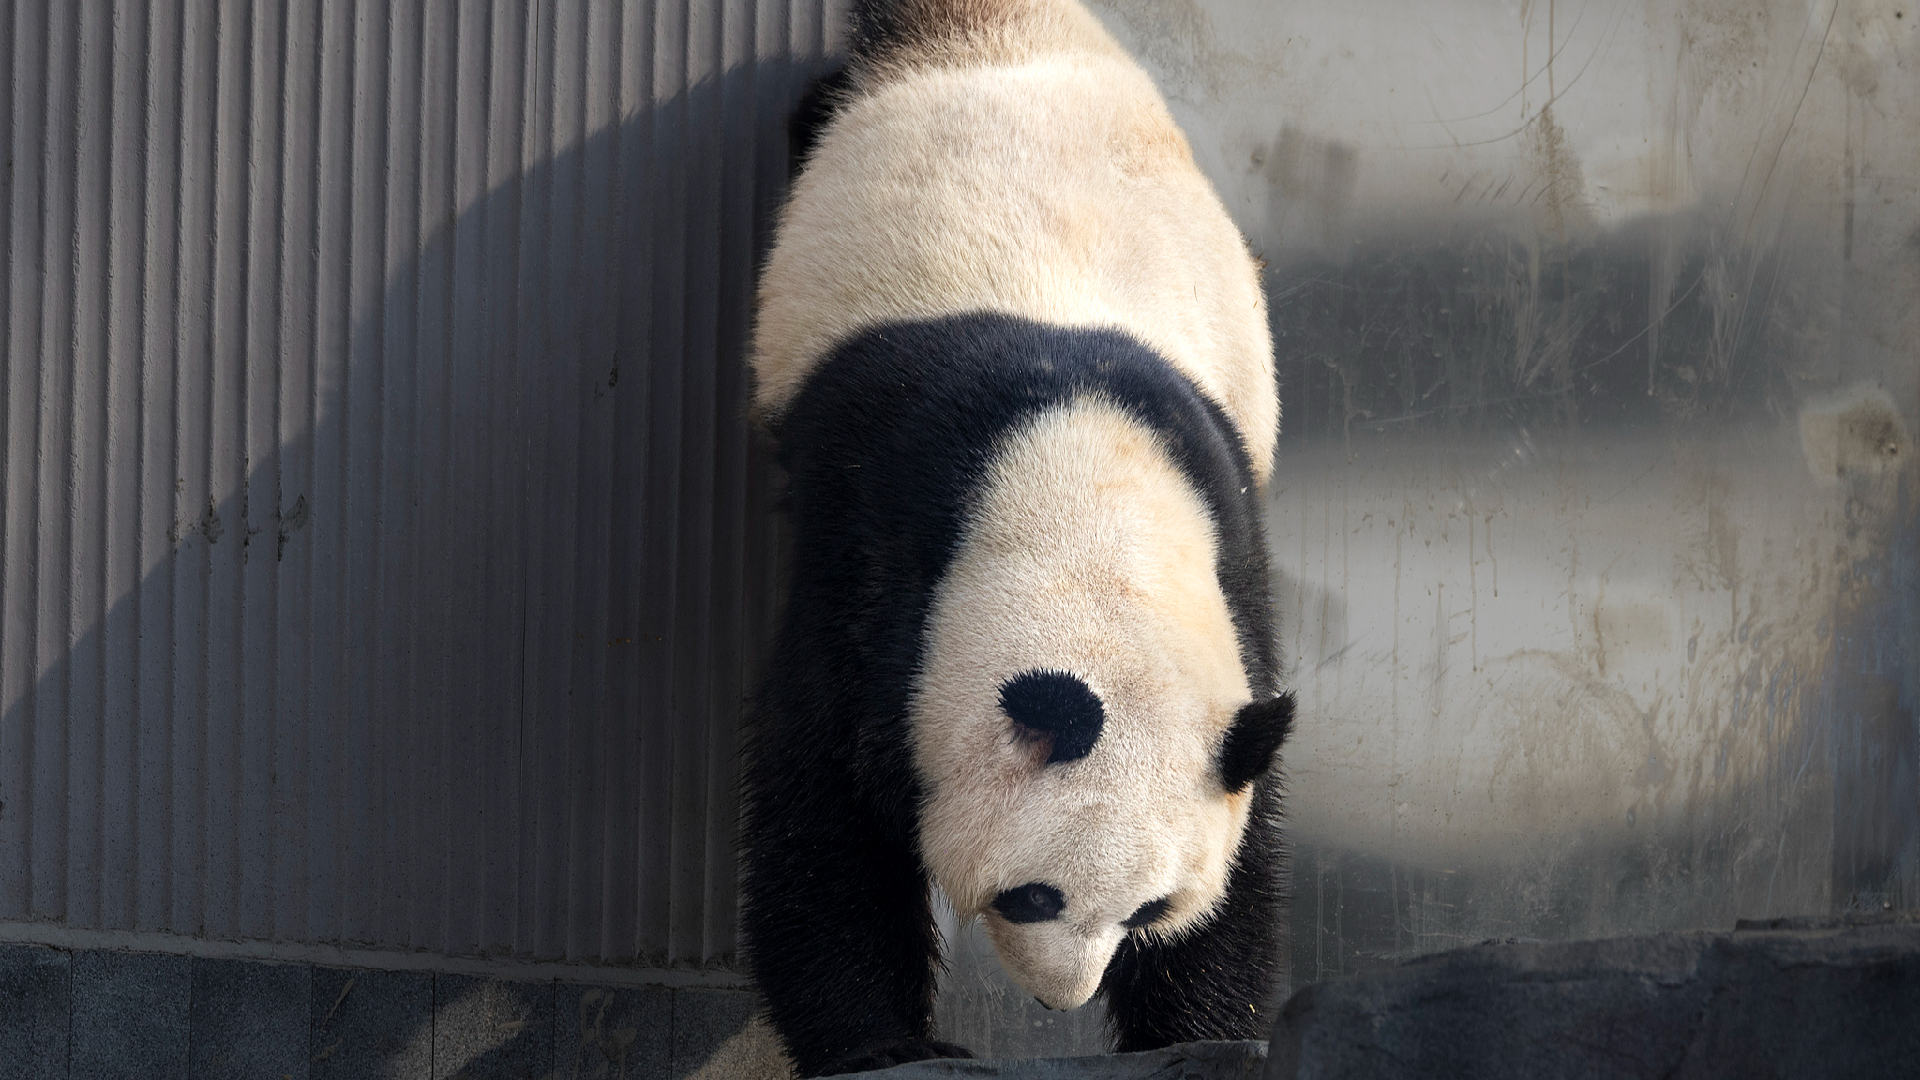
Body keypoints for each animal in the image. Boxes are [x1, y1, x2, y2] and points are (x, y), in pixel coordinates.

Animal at [739, 1, 1294, 1076]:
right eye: (1035, 895)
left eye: (1148, 907)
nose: (1057, 999)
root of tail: (991, 21)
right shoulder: (877, 528)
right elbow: (824, 809)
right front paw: (888, 1045)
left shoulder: (1230, 549)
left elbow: (1247, 848)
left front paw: (1203, 1036)